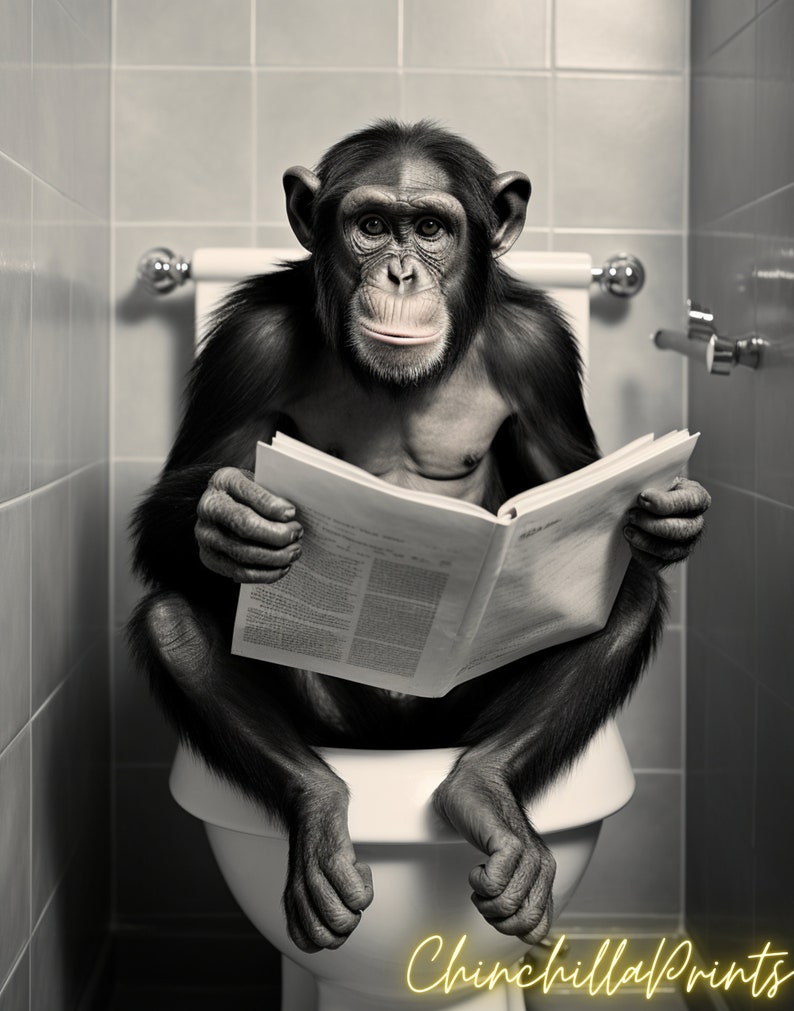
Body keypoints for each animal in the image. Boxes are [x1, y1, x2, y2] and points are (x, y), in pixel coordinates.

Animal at [128, 120, 710, 954]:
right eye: (371, 225)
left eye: (432, 229)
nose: (402, 273)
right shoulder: (248, 341)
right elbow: (185, 484)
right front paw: (229, 521)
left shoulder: (538, 347)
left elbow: (572, 475)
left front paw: (668, 516)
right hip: (344, 725)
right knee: (172, 623)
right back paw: (319, 808)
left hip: (456, 720)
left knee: (626, 599)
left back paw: (485, 794)